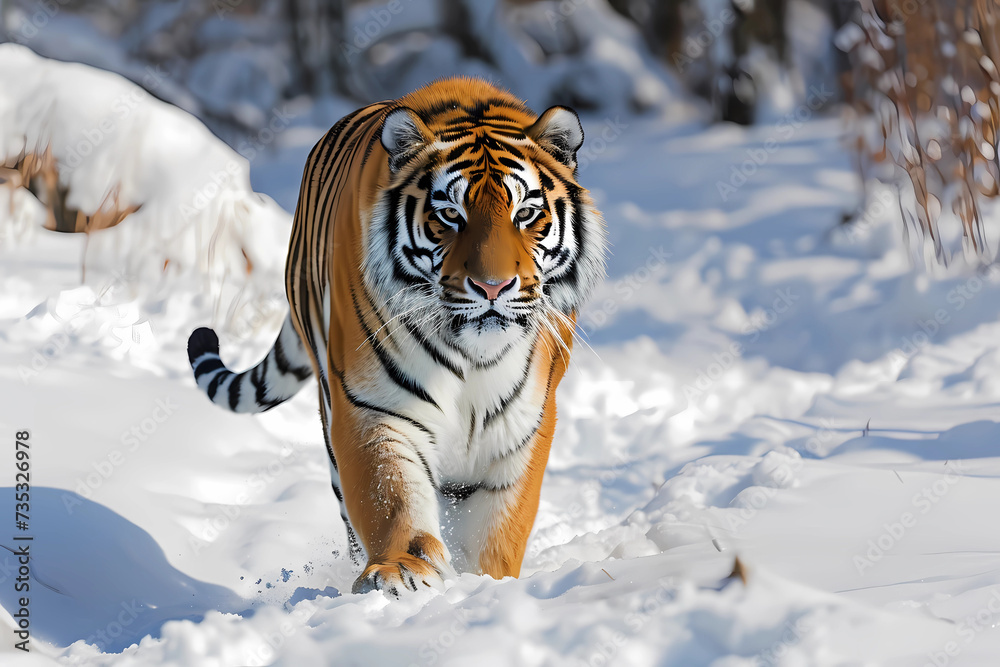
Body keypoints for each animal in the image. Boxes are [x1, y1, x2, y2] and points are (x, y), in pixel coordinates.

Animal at [187, 78, 607, 595]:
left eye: (526, 213)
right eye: (450, 215)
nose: (493, 287)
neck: (473, 358)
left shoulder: (522, 425)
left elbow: (499, 525)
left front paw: (484, 582)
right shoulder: (375, 408)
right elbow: (391, 495)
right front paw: (403, 570)